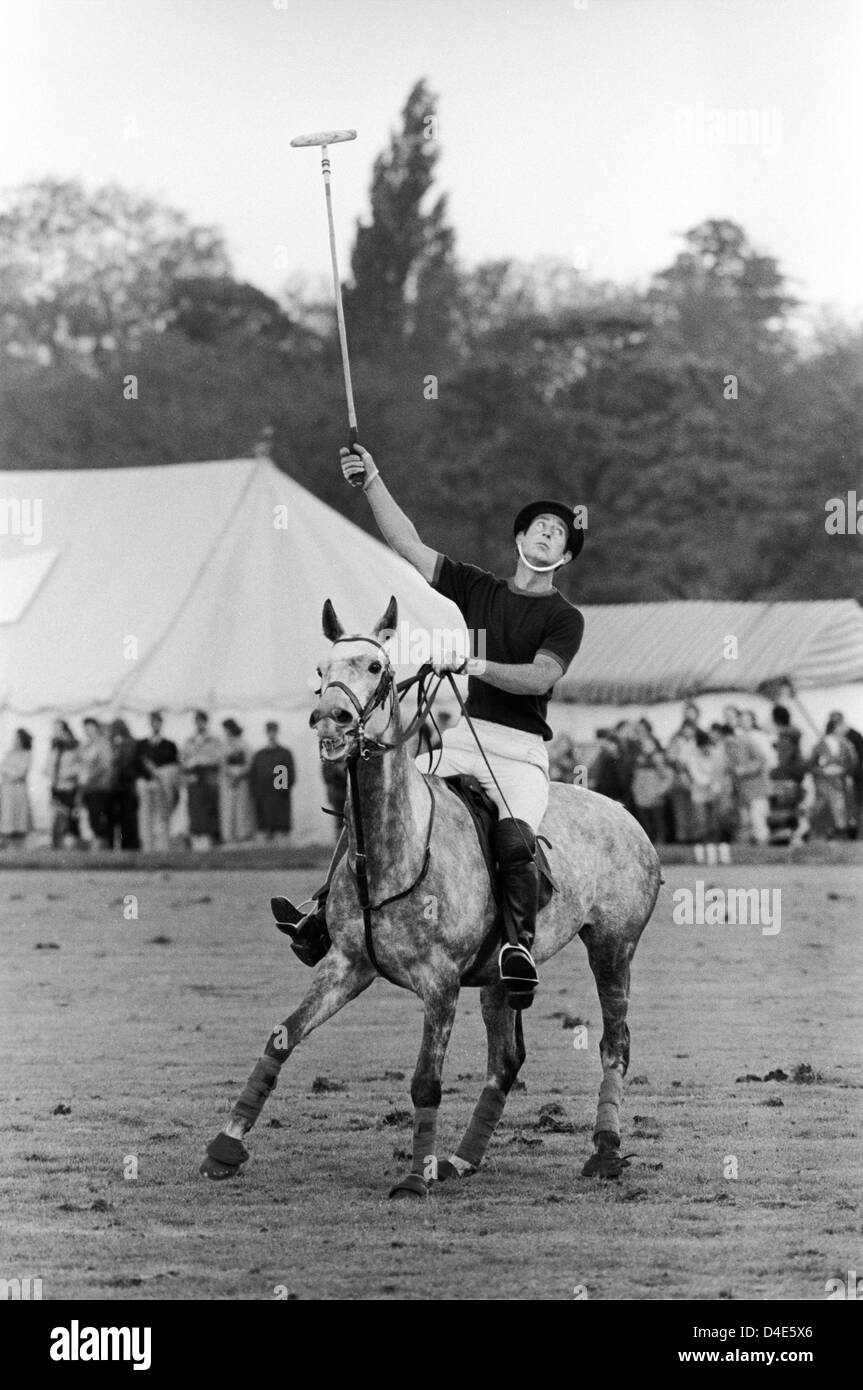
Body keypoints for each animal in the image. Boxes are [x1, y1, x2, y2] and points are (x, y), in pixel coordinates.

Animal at [200, 597, 662, 1195]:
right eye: (321, 668)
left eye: (378, 667)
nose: (330, 719)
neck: (392, 850)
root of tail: (627, 814)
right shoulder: (347, 964)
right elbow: (282, 1036)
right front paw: (224, 1147)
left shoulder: (439, 981)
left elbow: (426, 1082)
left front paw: (413, 1179)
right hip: (498, 974)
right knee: (505, 1060)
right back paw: (461, 1160)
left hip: (612, 946)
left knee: (615, 1043)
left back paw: (604, 1152)